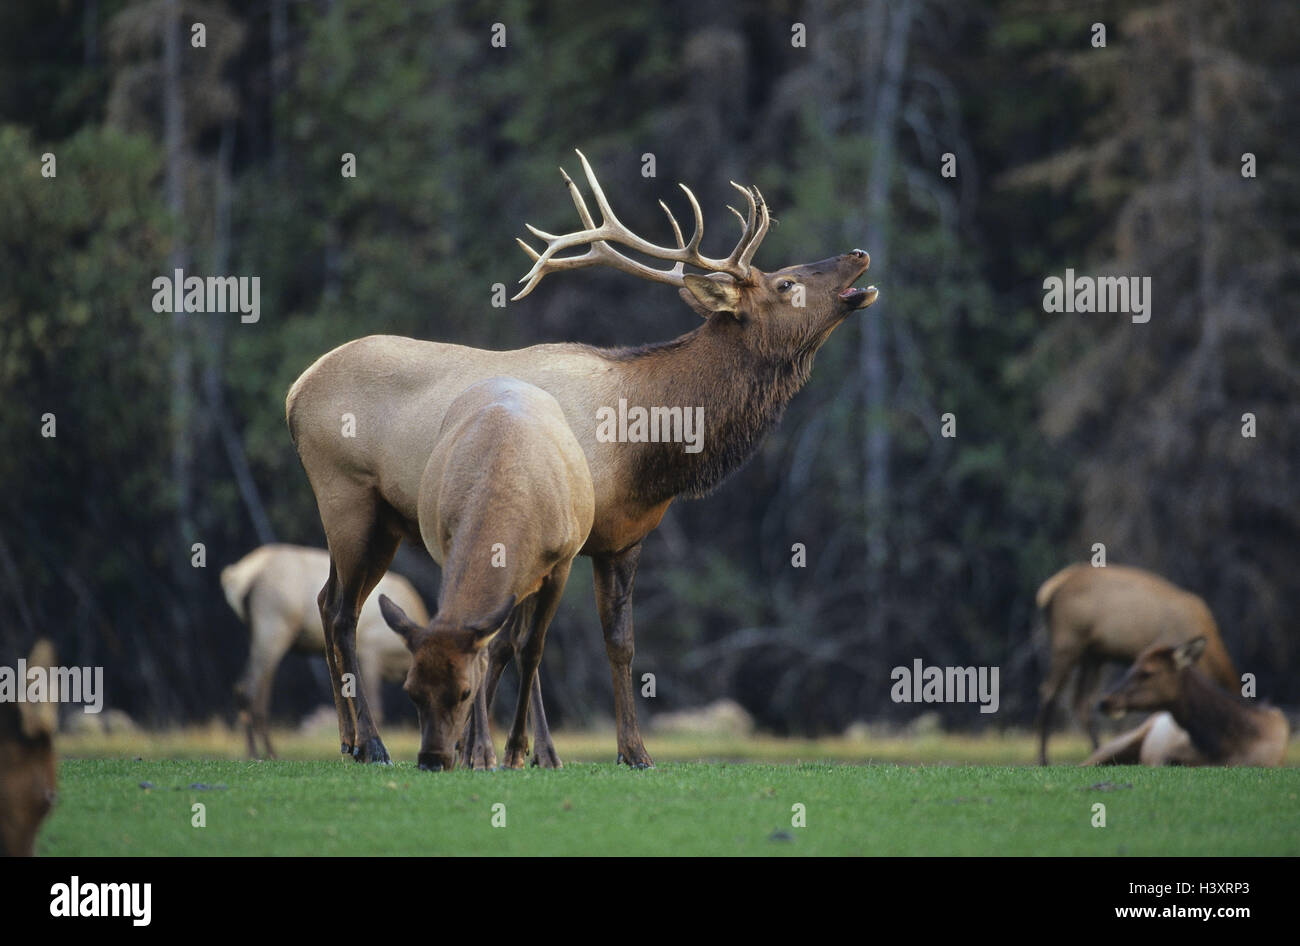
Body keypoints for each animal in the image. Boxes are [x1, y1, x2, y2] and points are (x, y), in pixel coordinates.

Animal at [220, 544, 429, 759]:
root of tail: (237, 578)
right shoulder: (371, 649)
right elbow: (374, 705)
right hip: (273, 625)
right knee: (248, 688)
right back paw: (257, 753)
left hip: (261, 631)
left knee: (257, 692)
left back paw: (266, 752)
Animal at [370, 376, 594, 770]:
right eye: (411, 691)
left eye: (463, 691)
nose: (431, 759)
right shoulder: (446, 546)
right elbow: (487, 651)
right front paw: (479, 752)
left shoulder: (561, 563)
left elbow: (532, 650)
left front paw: (513, 750)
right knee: (504, 643)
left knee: (521, 644)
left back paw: (542, 753)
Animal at [1034, 563, 1239, 765]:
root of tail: (1047, 591)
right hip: (1068, 643)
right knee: (1049, 691)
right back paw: (1044, 758)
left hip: (1093, 655)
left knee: (1082, 701)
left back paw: (1097, 748)